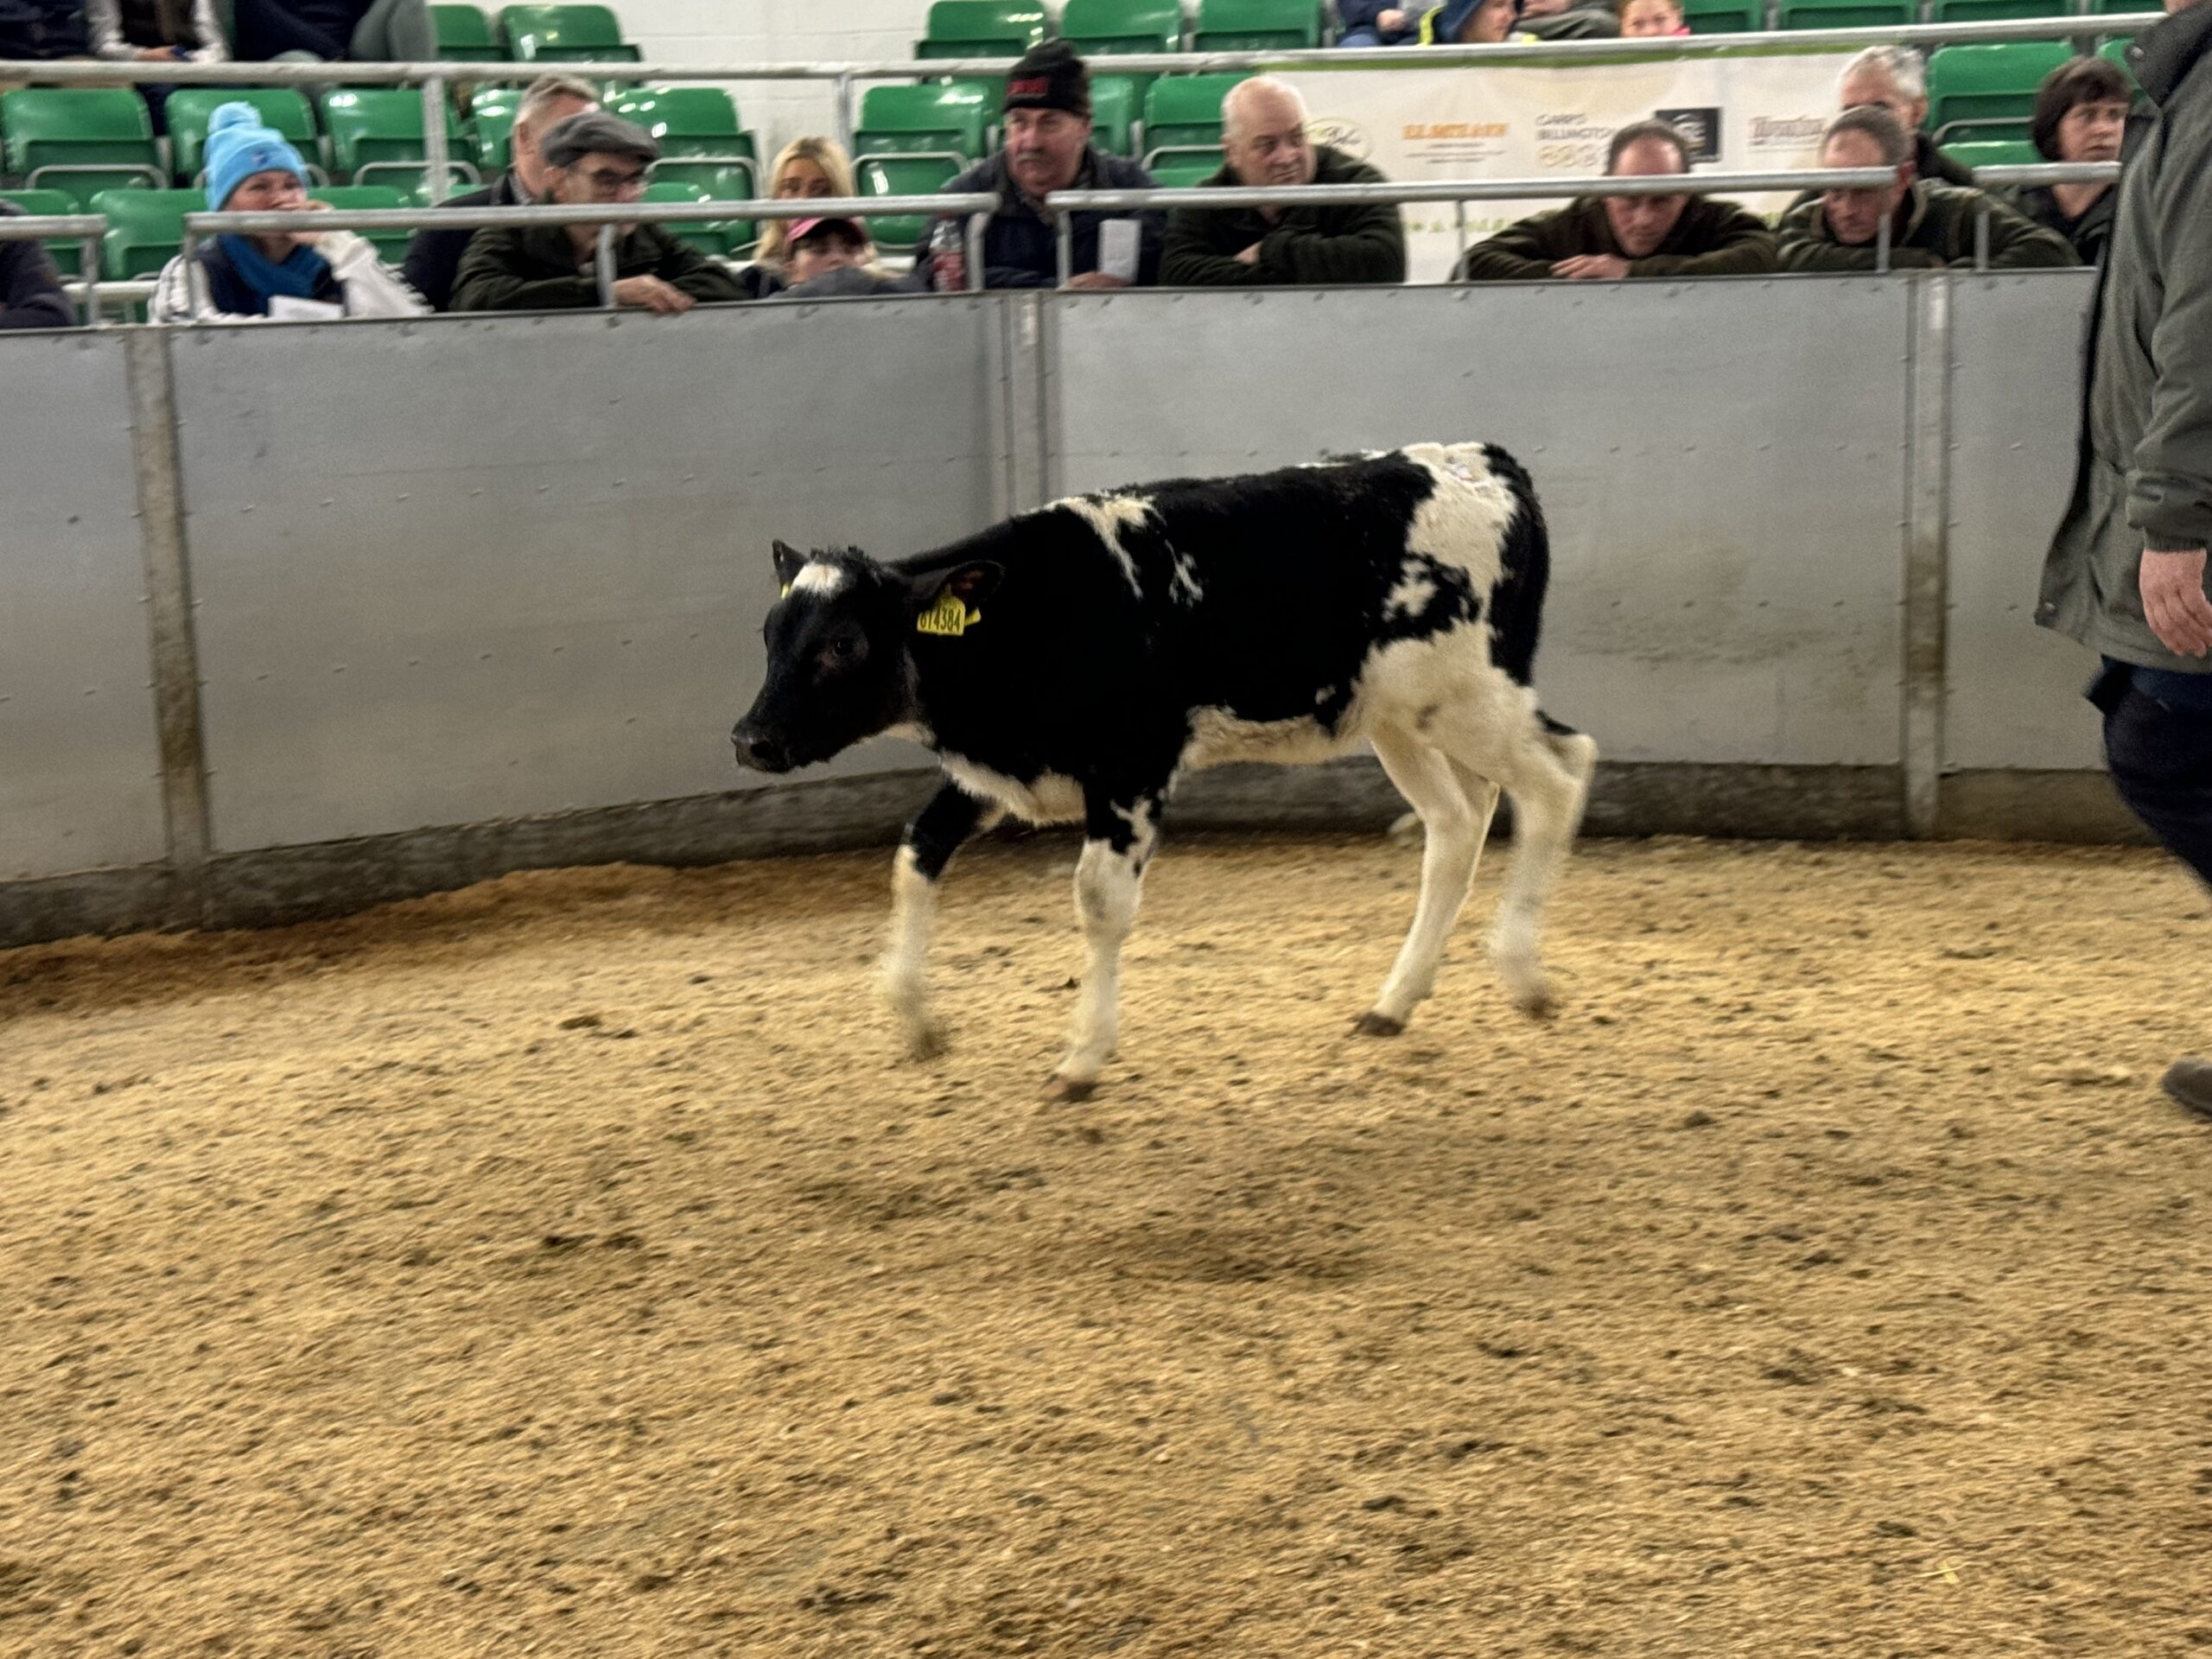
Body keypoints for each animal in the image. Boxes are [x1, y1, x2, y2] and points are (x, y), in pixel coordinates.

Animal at [731, 442, 1597, 1101]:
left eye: (843, 643)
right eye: (771, 632)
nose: (751, 739)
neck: (1039, 613)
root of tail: (1481, 460)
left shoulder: (1132, 768)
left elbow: (1098, 902)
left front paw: (1083, 1057)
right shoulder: (1002, 772)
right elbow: (917, 852)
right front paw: (914, 1016)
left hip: (1472, 699)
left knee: (1560, 774)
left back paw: (1522, 970)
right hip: (1400, 719)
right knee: (1459, 822)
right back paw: (1395, 1000)